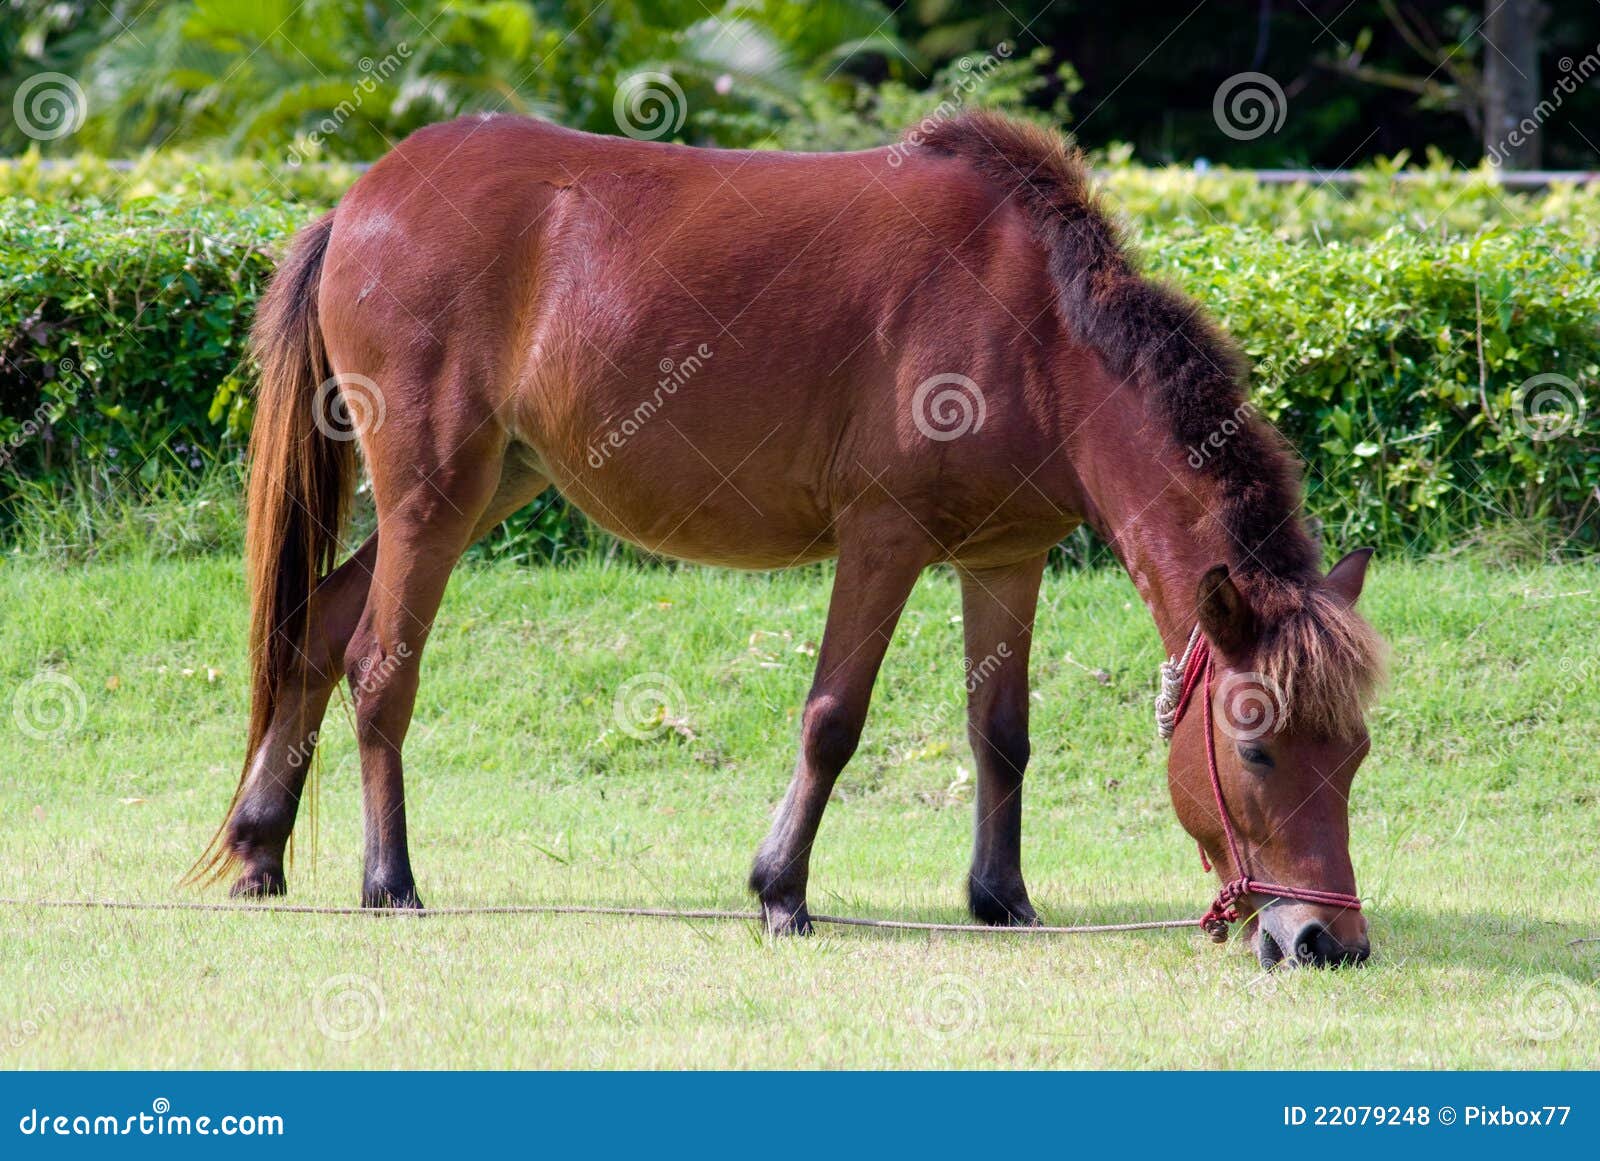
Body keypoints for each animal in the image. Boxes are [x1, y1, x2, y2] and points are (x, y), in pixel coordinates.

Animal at [191, 110, 1385, 968]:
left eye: (1356, 753)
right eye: (1255, 748)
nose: (1325, 941)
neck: (1034, 329)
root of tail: (359, 202)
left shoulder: (1005, 556)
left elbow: (1001, 734)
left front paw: (1000, 899)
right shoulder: (882, 540)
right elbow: (832, 721)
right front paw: (780, 891)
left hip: (490, 485)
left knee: (315, 631)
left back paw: (259, 845)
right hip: (432, 494)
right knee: (377, 666)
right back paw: (388, 882)